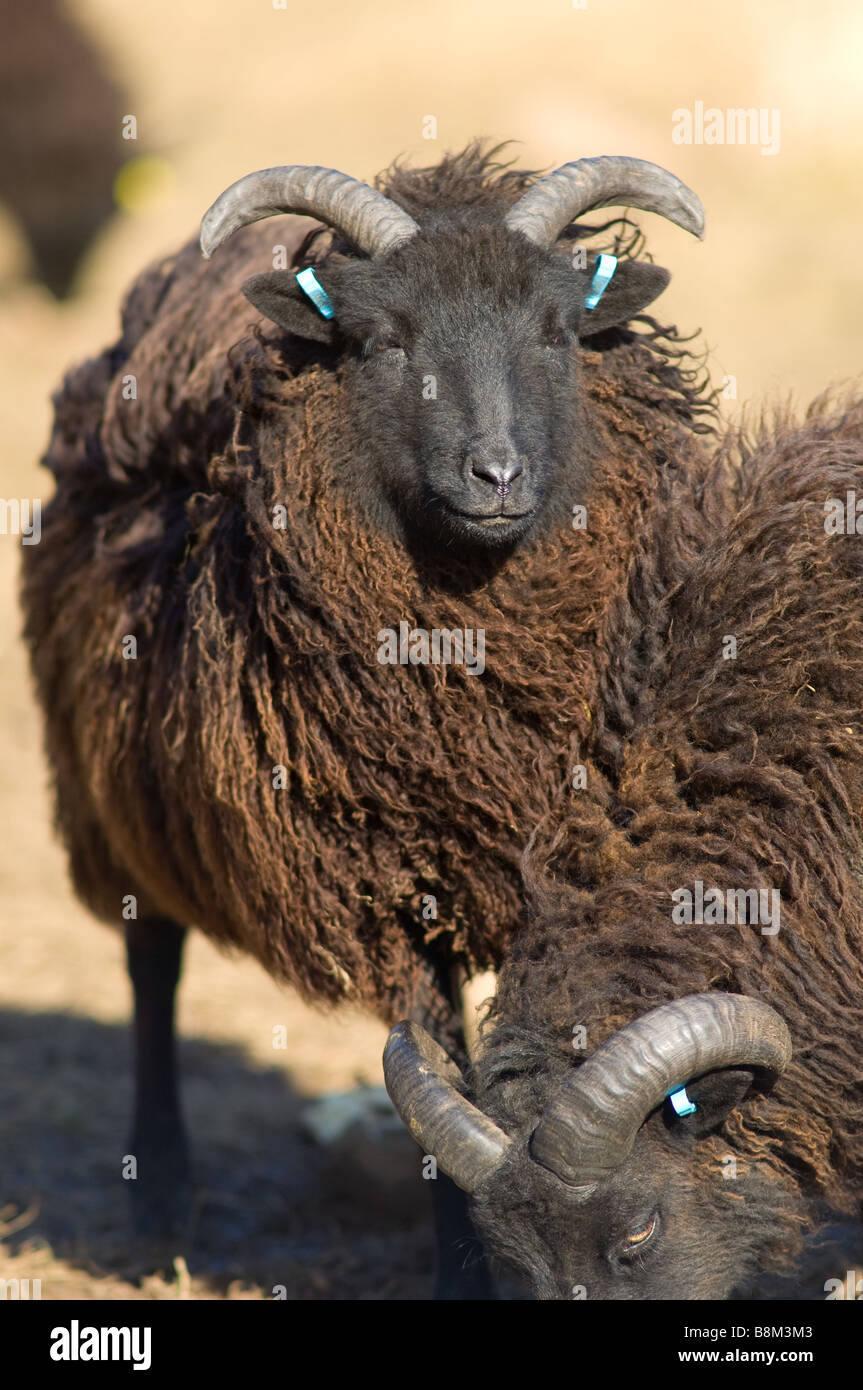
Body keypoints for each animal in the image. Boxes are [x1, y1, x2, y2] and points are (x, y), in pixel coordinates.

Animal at [20, 142, 714, 1294]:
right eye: (386, 342)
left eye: (556, 331)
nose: (496, 473)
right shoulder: (390, 882)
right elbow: (432, 1072)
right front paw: (462, 1264)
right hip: (117, 782)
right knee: (151, 962)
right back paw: (159, 1200)